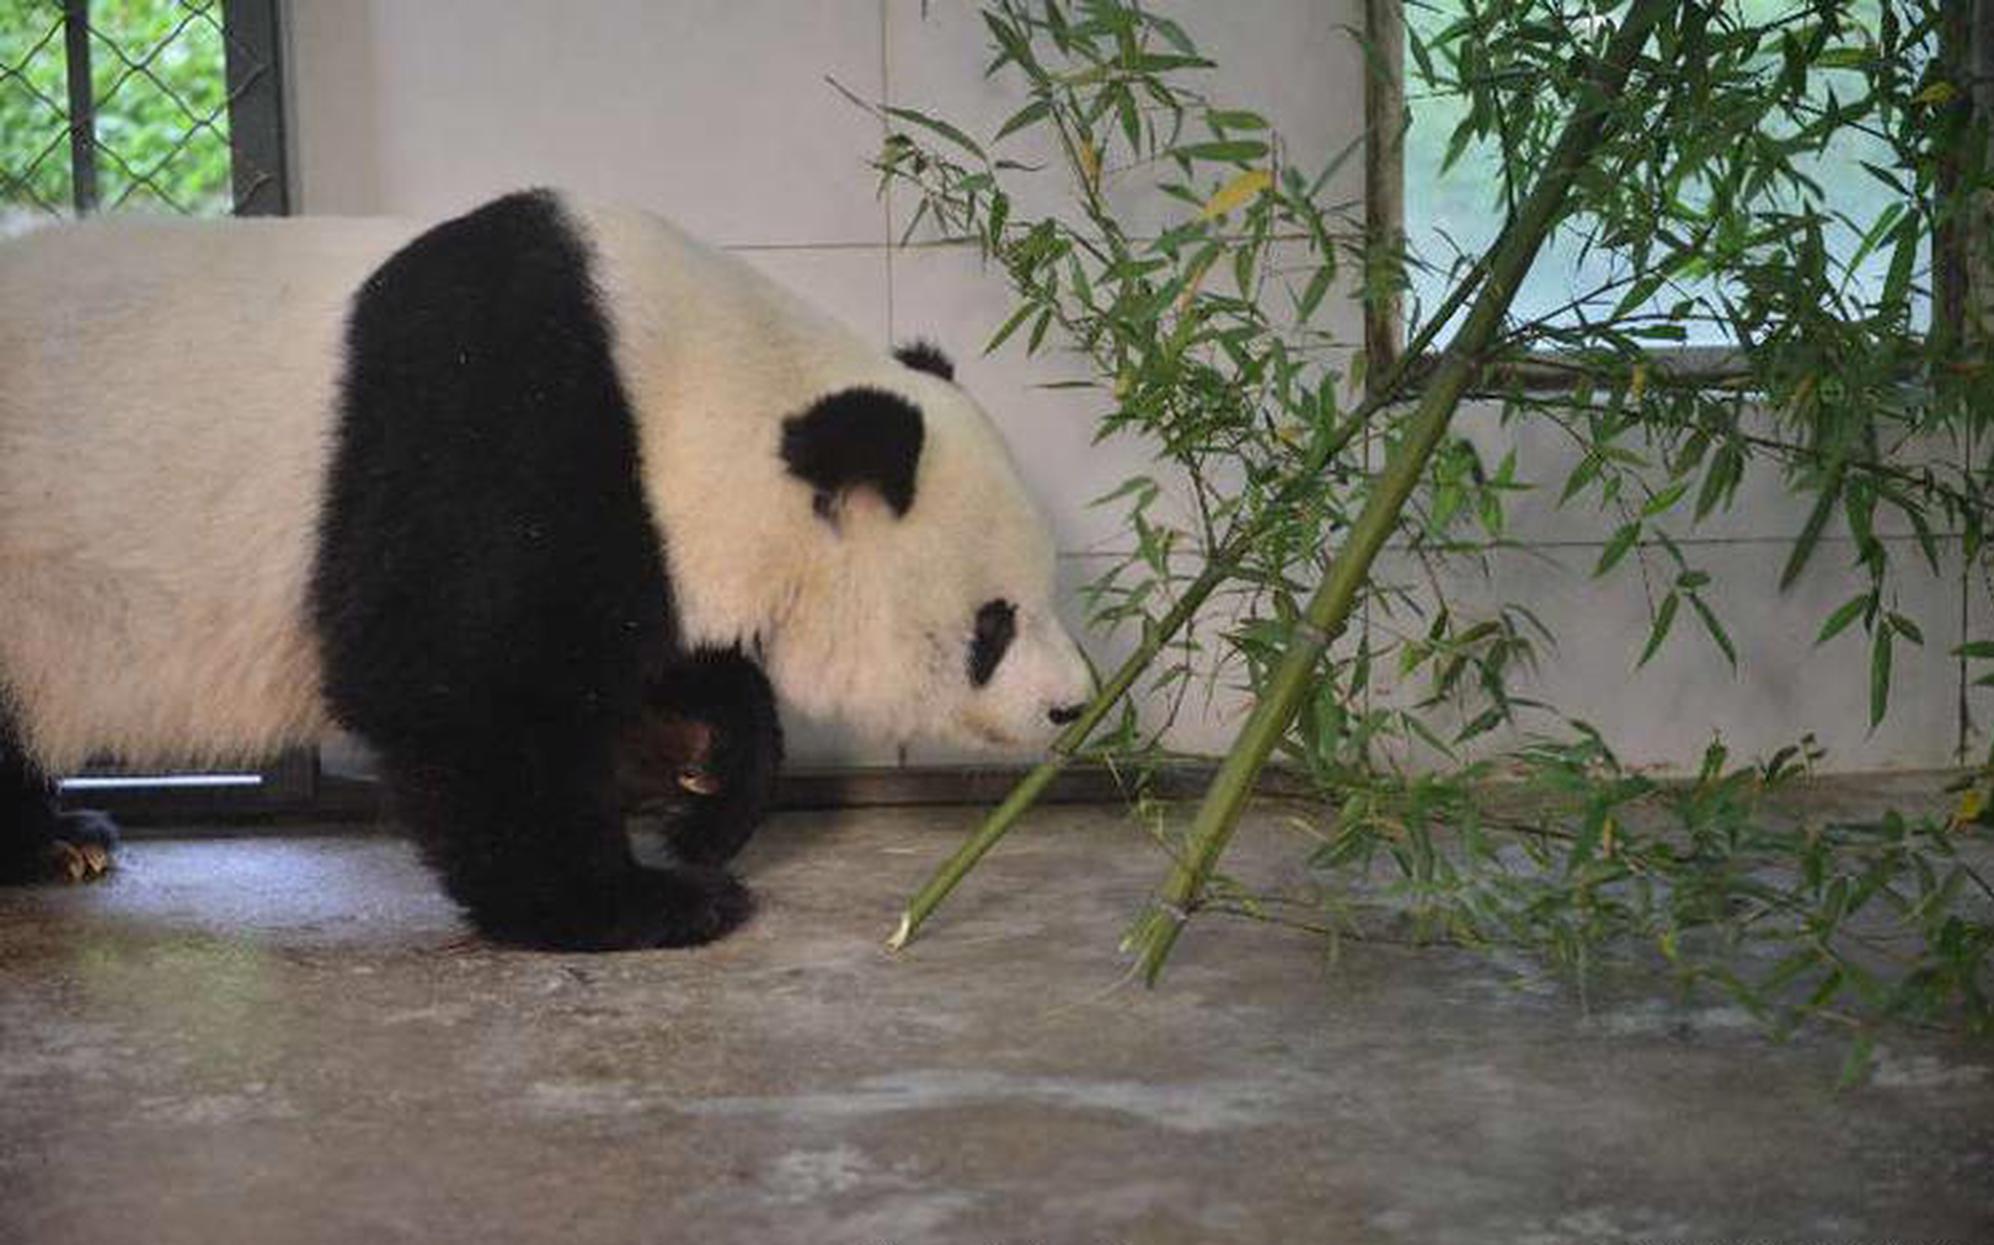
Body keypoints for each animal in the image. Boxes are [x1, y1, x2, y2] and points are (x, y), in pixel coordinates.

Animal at [0, 192, 1092, 953]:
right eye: (994, 623)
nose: (1073, 707)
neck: (686, 385)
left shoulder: (633, 529)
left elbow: (647, 665)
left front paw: (705, 788)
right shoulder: (499, 436)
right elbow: (459, 685)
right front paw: (639, 902)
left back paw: (58, 841)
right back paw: (54, 841)